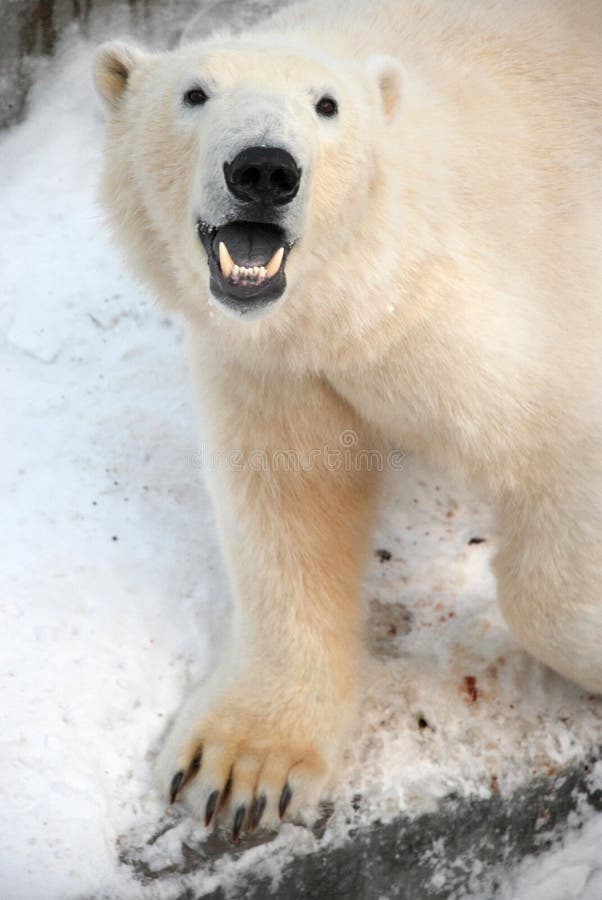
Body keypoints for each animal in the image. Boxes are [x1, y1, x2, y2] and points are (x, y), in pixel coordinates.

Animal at [94, 0, 602, 839]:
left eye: (326, 105)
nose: (263, 171)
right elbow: (293, 507)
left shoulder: (495, 301)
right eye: (195, 93)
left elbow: (558, 454)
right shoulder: (279, 361)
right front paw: (242, 766)